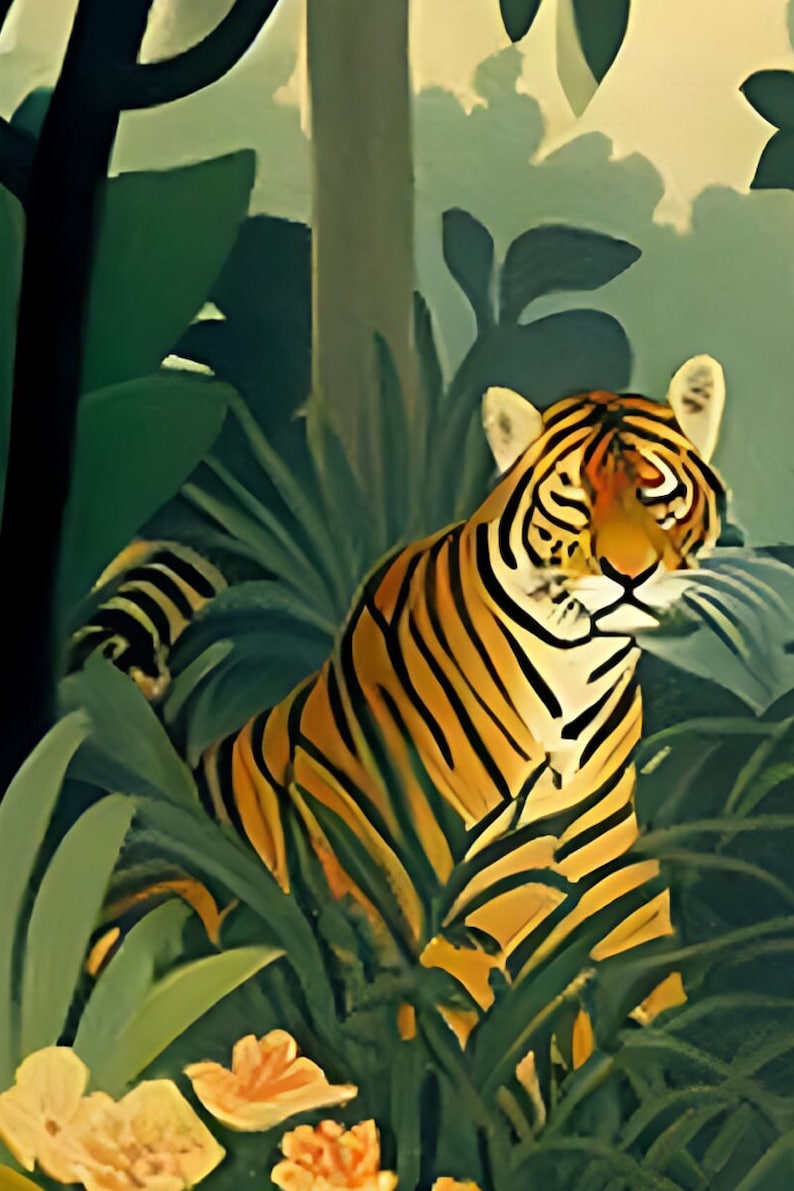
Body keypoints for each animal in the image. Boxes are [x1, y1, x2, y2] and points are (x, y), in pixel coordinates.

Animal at [73, 354, 729, 1060]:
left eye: (658, 493)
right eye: (575, 501)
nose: (629, 576)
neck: (575, 676)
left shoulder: (620, 909)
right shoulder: (455, 926)